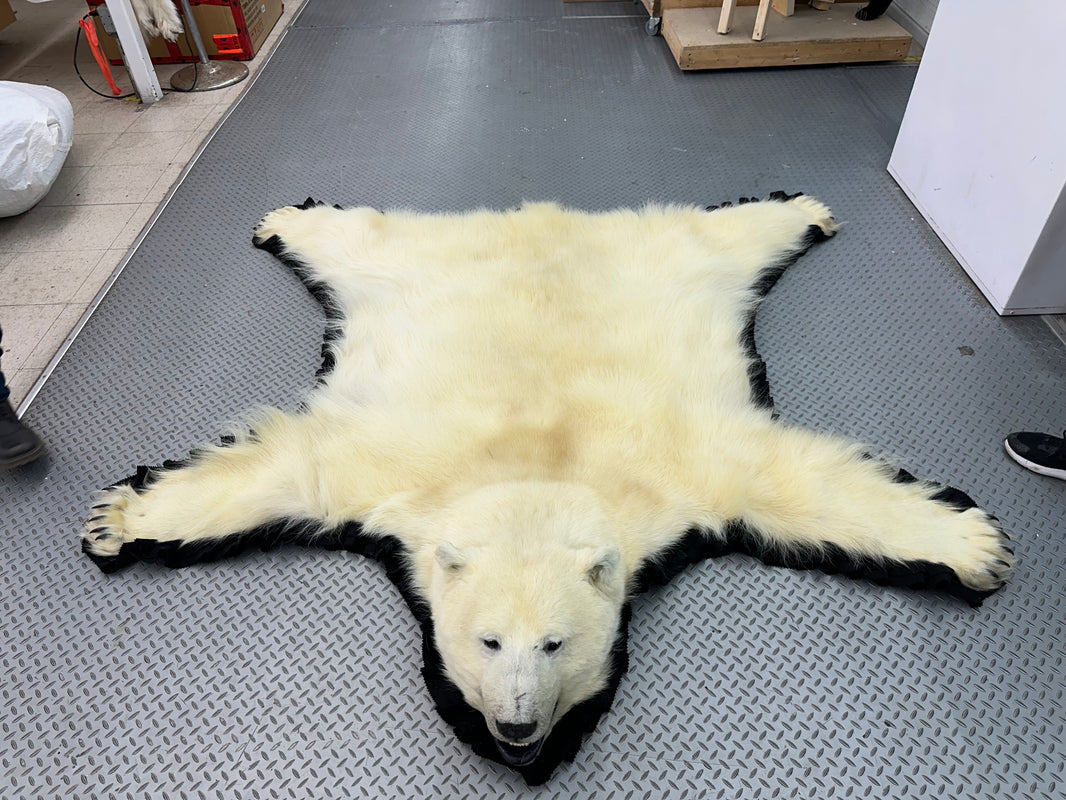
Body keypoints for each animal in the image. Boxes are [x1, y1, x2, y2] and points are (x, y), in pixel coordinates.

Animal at [82, 193, 1013, 783]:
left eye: (556, 645)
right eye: (488, 642)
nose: (520, 729)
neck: (533, 470)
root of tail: (535, 218)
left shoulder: (696, 464)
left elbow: (798, 484)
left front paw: (975, 543)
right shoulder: (377, 462)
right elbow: (281, 469)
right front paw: (117, 515)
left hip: (673, 267)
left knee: (730, 235)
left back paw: (806, 208)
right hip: (408, 269)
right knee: (361, 239)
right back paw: (289, 219)